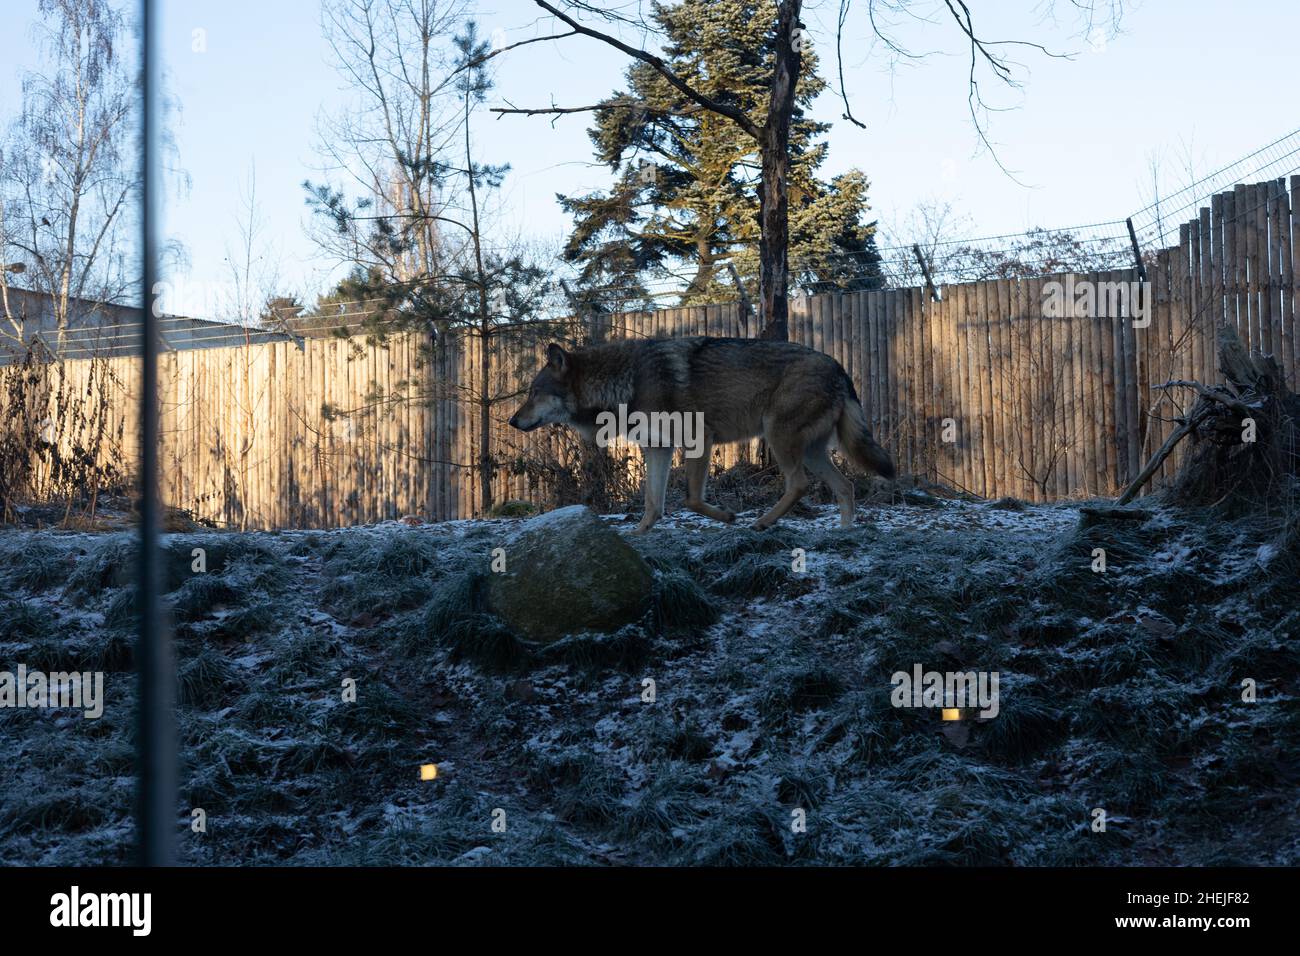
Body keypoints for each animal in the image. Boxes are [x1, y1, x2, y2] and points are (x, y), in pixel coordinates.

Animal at [508, 337, 895, 532]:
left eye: (533, 392)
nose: (512, 421)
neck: (624, 381)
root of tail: (839, 367)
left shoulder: (698, 438)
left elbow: (691, 500)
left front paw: (728, 517)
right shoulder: (658, 448)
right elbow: (653, 503)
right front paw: (638, 535)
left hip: (780, 438)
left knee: (799, 485)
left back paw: (761, 523)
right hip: (812, 451)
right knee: (845, 486)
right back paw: (843, 531)